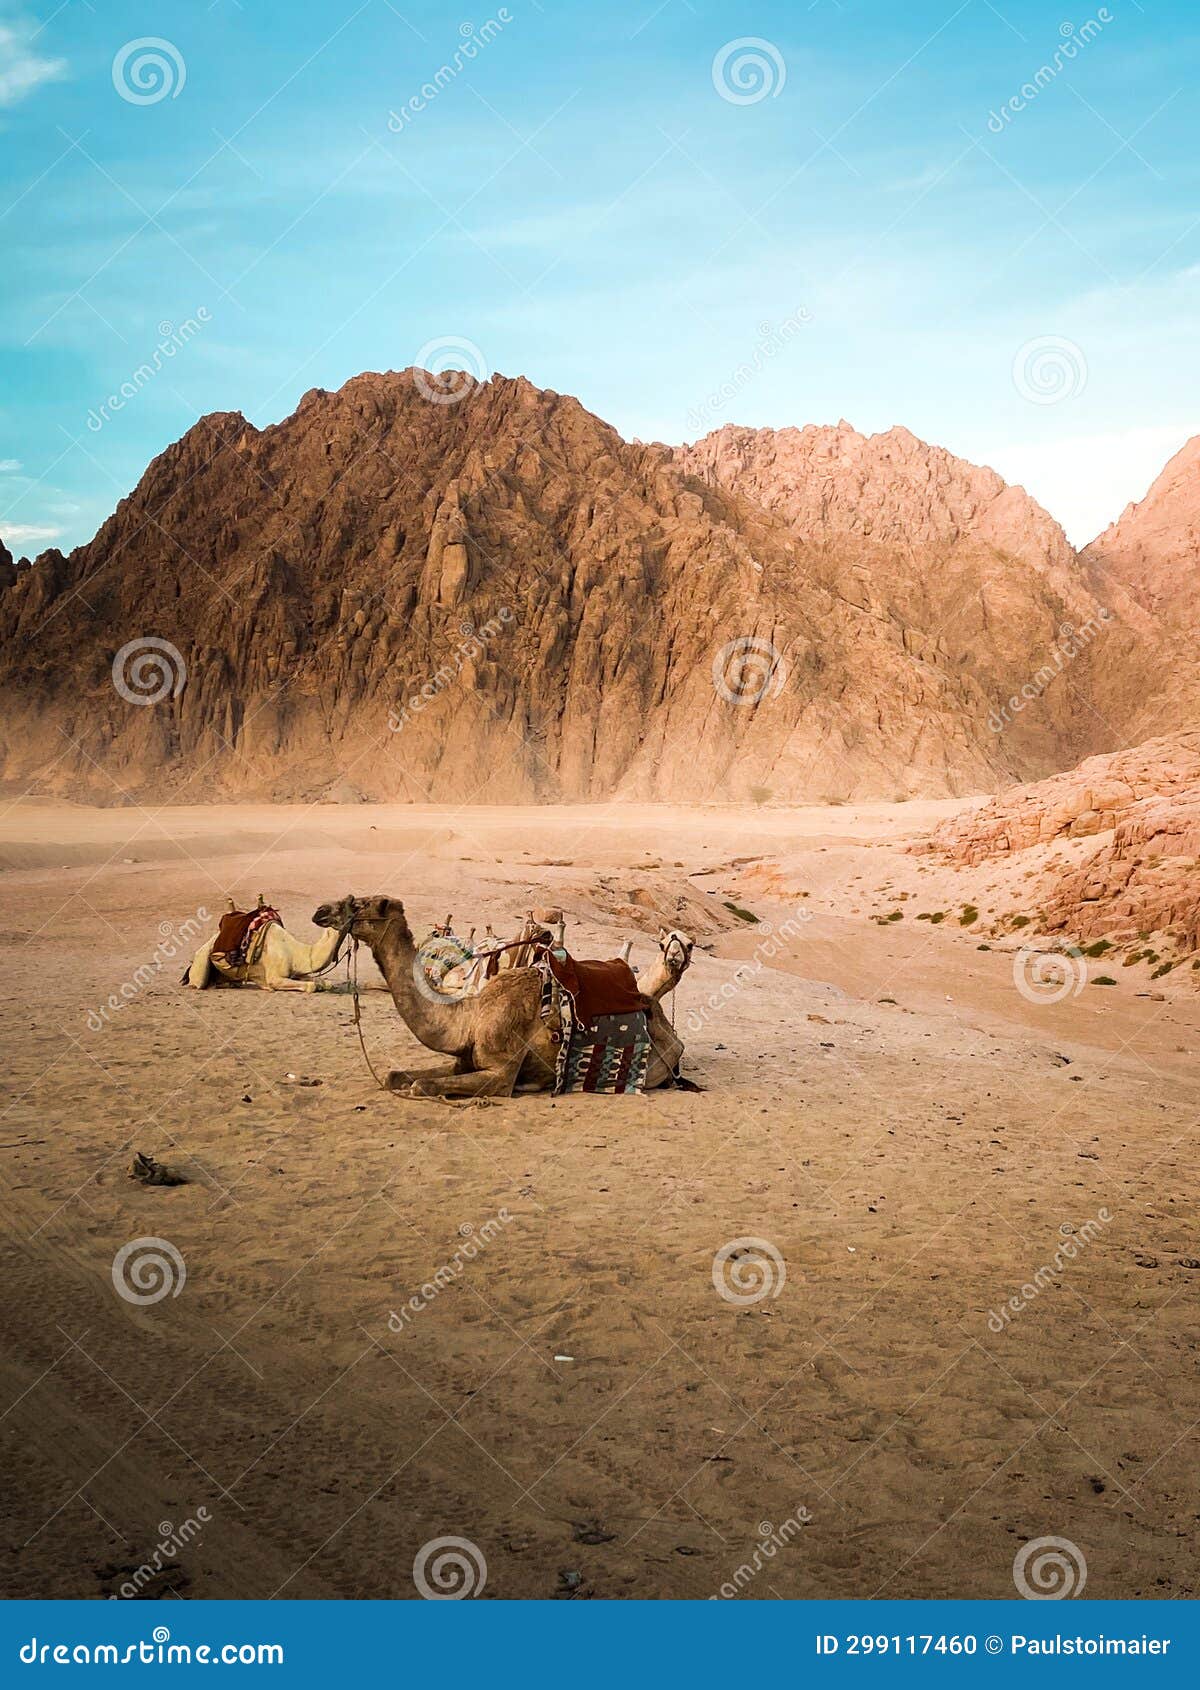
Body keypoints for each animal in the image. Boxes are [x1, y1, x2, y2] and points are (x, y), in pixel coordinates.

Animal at [312, 895, 694, 1098]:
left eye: (358, 904)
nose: (320, 912)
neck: (471, 1017)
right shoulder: (463, 1060)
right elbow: (399, 1076)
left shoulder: (500, 1073)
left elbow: (421, 1085)